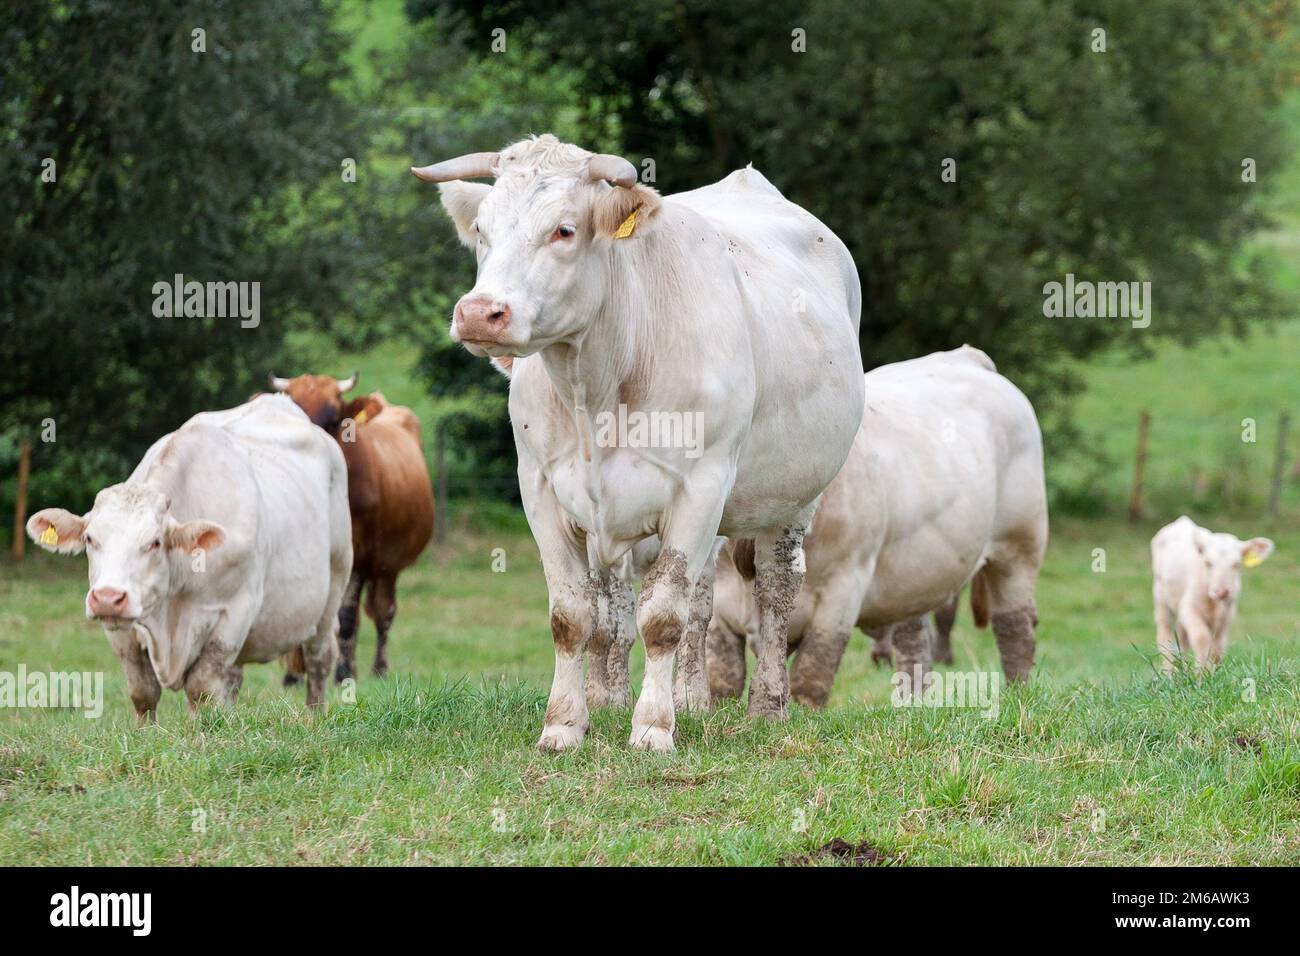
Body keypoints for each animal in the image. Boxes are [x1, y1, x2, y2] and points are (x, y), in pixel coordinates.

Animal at [26, 397, 352, 721]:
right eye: (90, 539)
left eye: (155, 542)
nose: (108, 598)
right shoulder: (122, 634)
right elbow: (143, 692)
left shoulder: (234, 612)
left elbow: (202, 689)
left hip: (333, 587)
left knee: (319, 660)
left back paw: (315, 717)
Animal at [268, 373, 435, 681]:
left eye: (333, 420)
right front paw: (293, 675)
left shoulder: (356, 554)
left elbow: (346, 616)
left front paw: (344, 673)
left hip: (388, 565)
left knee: (383, 611)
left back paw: (378, 669)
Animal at [414, 134, 866, 751]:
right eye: (481, 229)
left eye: (564, 230)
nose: (480, 313)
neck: (596, 387)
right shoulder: (541, 488)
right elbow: (574, 615)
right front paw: (565, 724)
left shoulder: (700, 487)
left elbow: (662, 617)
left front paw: (652, 728)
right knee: (703, 599)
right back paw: (694, 700)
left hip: (797, 494)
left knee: (775, 591)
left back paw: (766, 710)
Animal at [707, 347, 1048, 706]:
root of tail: (967, 356)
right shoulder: (721, 609)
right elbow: (723, 677)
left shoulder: (843, 589)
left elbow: (812, 674)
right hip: (914, 570)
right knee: (914, 641)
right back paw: (913, 705)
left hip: (1019, 546)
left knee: (1014, 628)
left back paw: (1019, 693)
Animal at [1151, 516, 1275, 674]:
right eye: (1208, 563)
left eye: (1237, 564)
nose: (1222, 592)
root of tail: (1181, 520)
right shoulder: (1189, 608)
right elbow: (1202, 638)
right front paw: (1201, 674)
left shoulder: (1227, 614)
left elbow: (1218, 648)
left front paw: (1213, 673)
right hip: (1160, 597)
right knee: (1165, 637)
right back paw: (1169, 674)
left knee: (1182, 638)